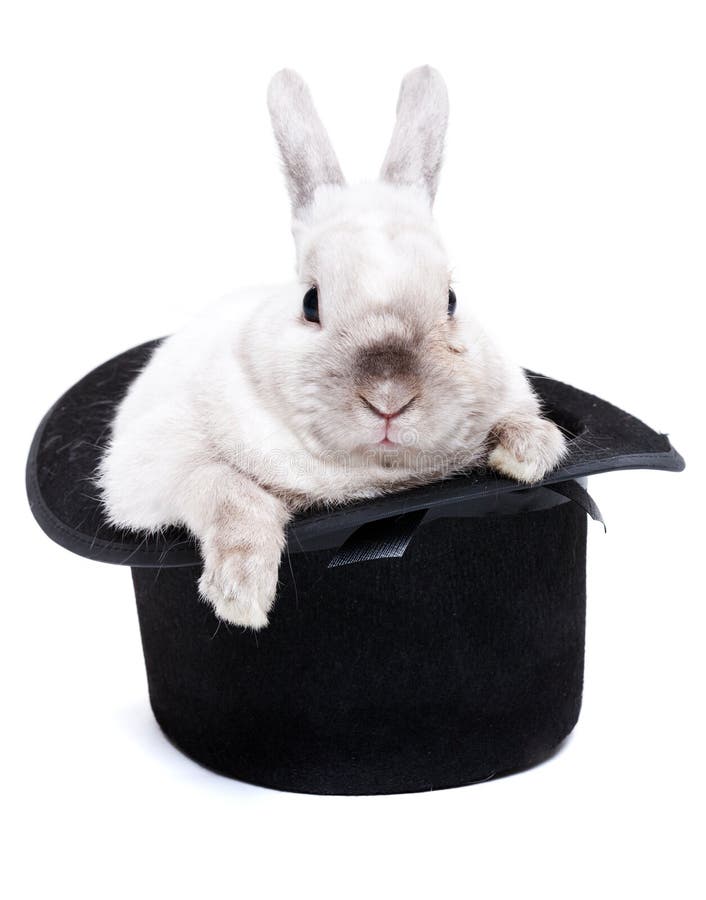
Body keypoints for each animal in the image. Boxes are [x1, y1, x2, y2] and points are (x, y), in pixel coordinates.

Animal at [98, 66, 567, 629]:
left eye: (451, 299)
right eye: (311, 302)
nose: (389, 398)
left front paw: (528, 453)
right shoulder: (153, 465)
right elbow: (225, 487)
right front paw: (241, 594)